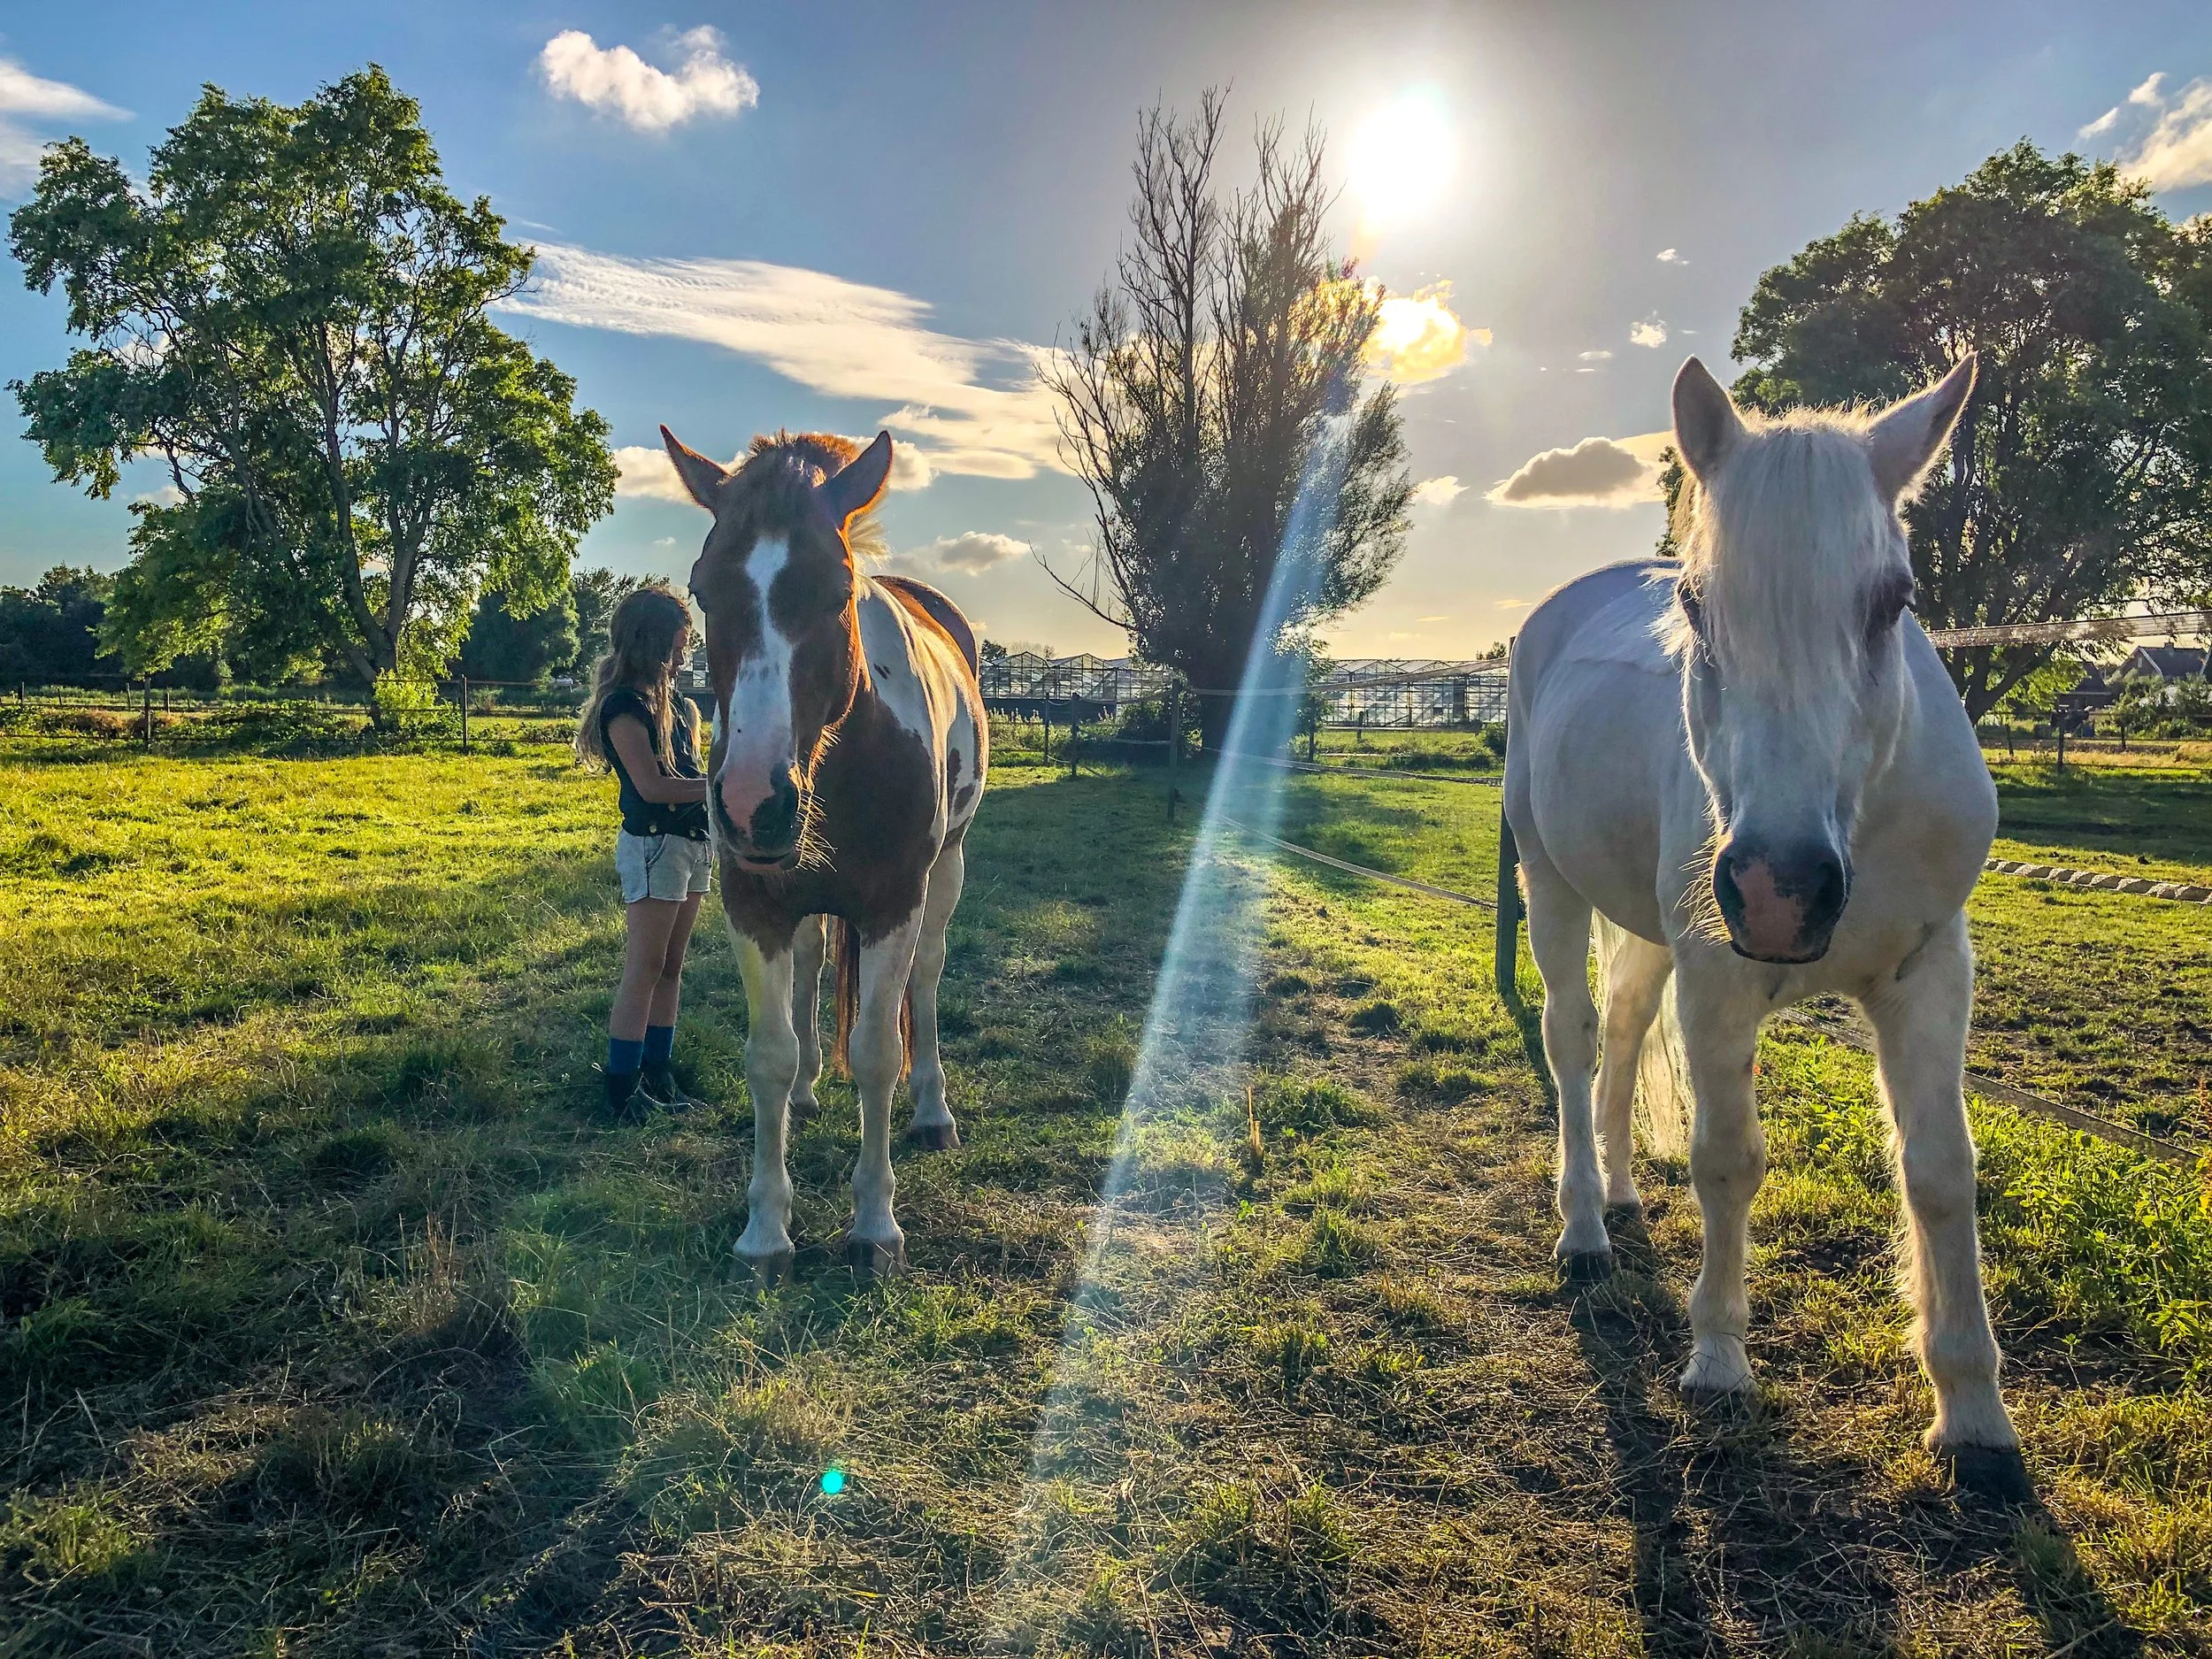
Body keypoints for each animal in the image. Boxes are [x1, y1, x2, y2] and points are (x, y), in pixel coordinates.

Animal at [659, 424, 987, 1281]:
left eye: (837, 587)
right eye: (703, 588)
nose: (751, 804)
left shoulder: (894, 902)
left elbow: (876, 1053)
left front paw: (874, 1225)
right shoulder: (754, 903)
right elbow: (768, 1055)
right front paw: (765, 1231)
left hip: (947, 872)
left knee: (926, 984)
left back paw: (932, 1110)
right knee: (810, 968)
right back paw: (809, 1090)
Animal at [1504, 354, 2029, 1498]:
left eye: (1892, 601)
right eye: (1696, 605)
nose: (1782, 889)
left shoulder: (1930, 975)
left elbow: (1940, 1173)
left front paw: (1973, 1414)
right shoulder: (1719, 978)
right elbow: (1727, 1161)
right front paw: (1717, 1359)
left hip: (1647, 929)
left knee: (1619, 1036)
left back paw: (1619, 1195)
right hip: (1551, 884)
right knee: (1573, 1042)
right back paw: (1582, 1226)